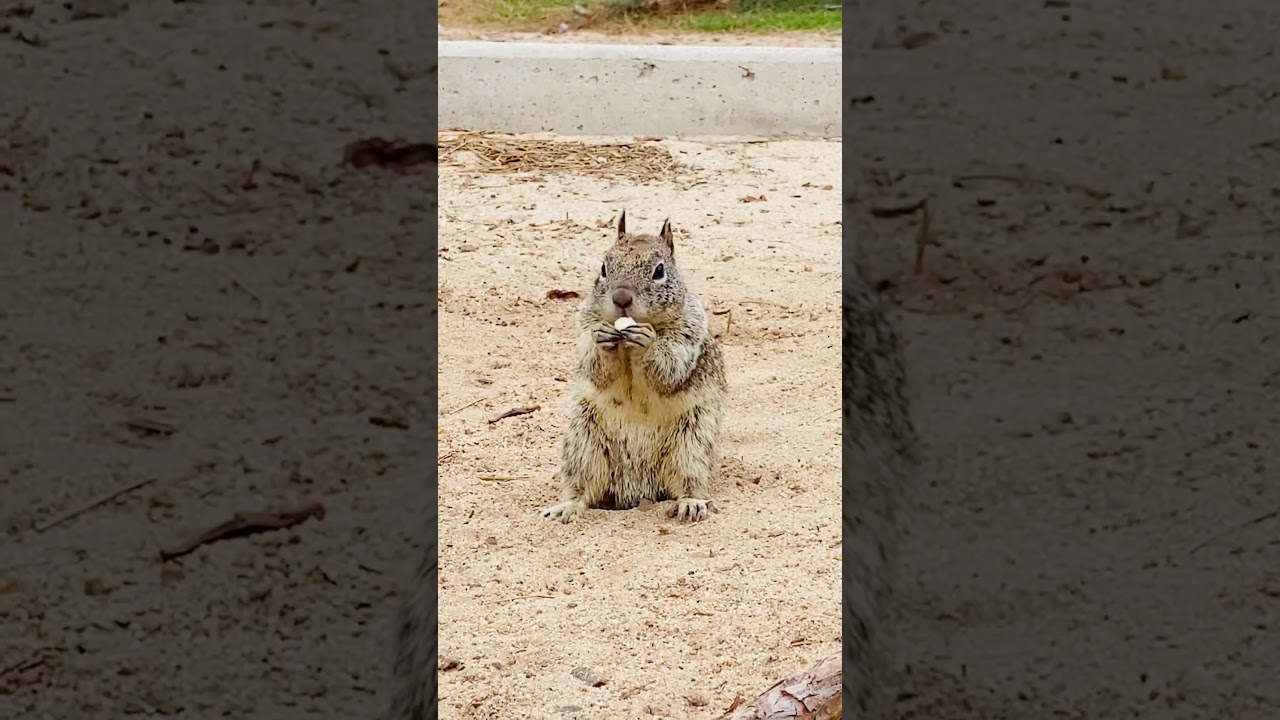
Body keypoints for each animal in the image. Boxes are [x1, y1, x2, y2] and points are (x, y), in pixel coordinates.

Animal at [539, 211, 727, 523]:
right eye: (604, 267)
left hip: (691, 445)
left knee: (687, 480)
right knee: (583, 486)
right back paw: (567, 506)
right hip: (584, 444)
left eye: (659, 271)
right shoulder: (585, 324)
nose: (621, 298)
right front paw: (603, 342)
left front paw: (647, 345)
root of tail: (636, 487)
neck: (626, 347)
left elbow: (671, 368)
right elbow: (593, 365)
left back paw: (691, 502)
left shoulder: (689, 333)